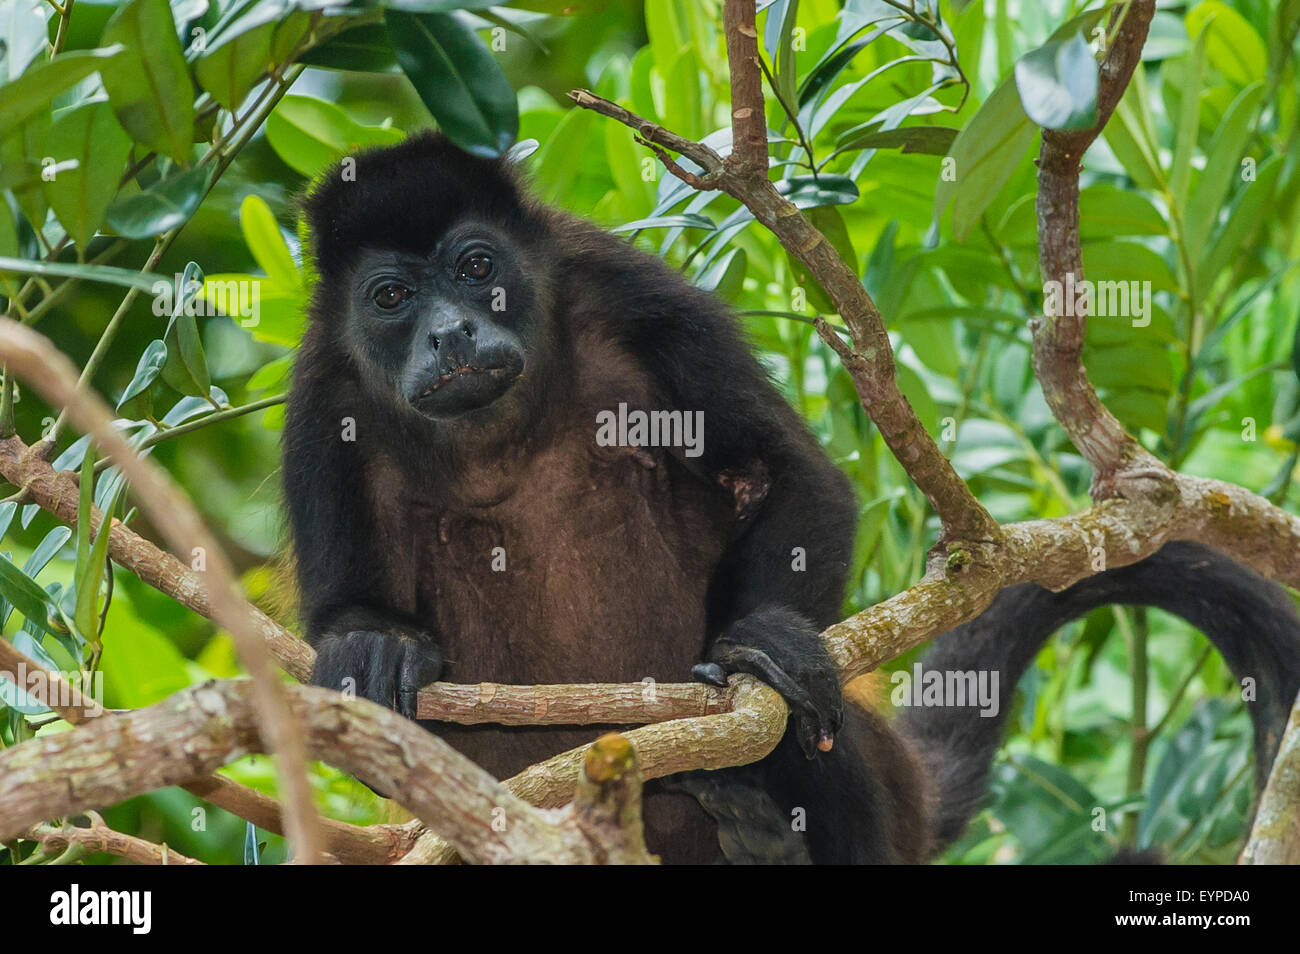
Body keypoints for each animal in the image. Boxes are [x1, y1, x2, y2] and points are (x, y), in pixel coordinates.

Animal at [285, 132, 1300, 864]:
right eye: (390, 297)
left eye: (474, 268)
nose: (451, 332)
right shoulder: (321, 397)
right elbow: (345, 630)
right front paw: (374, 649)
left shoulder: (620, 286)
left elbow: (786, 475)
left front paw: (765, 645)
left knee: (815, 732)